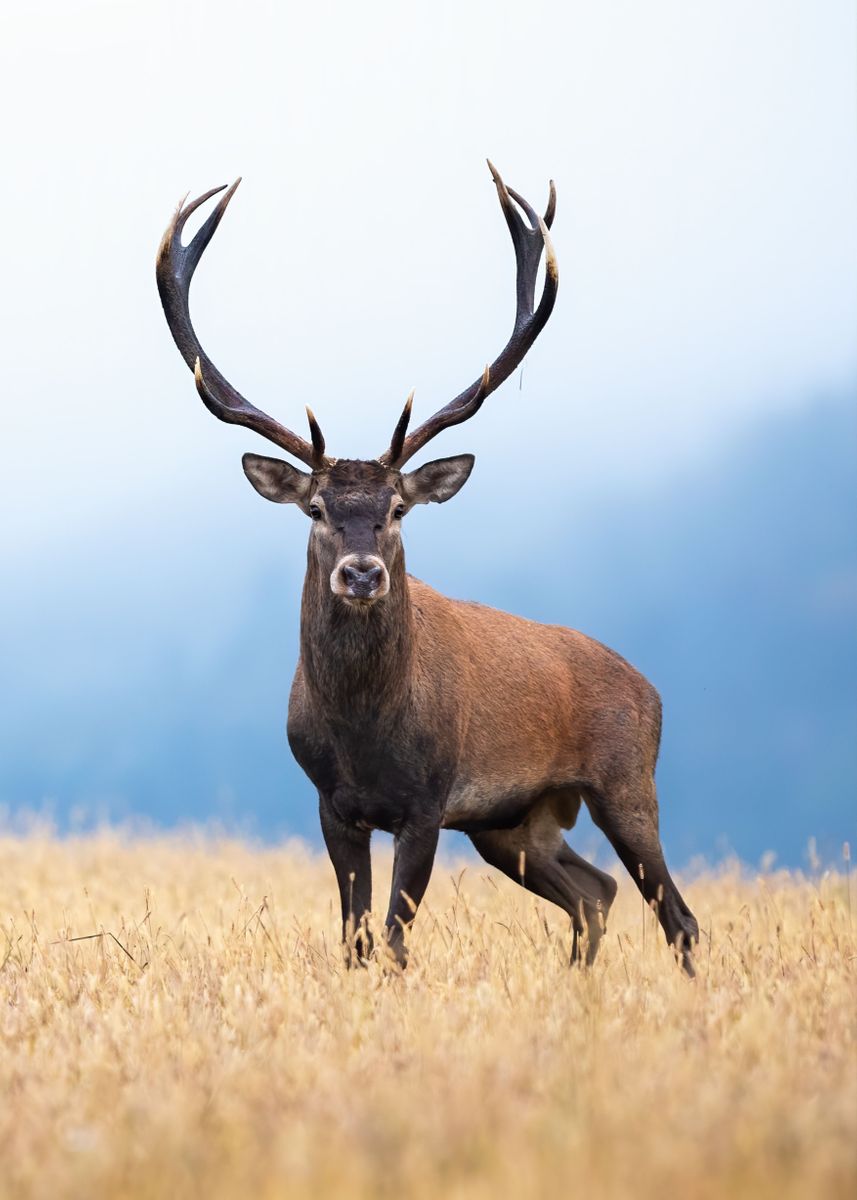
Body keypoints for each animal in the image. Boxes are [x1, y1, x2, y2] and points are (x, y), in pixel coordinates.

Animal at [156, 163, 699, 975]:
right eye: (315, 507)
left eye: (396, 509)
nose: (360, 573)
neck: (364, 733)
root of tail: (651, 690)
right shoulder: (332, 804)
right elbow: (354, 938)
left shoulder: (428, 800)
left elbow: (393, 937)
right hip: (513, 822)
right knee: (593, 891)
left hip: (625, 779)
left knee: (675, 911)